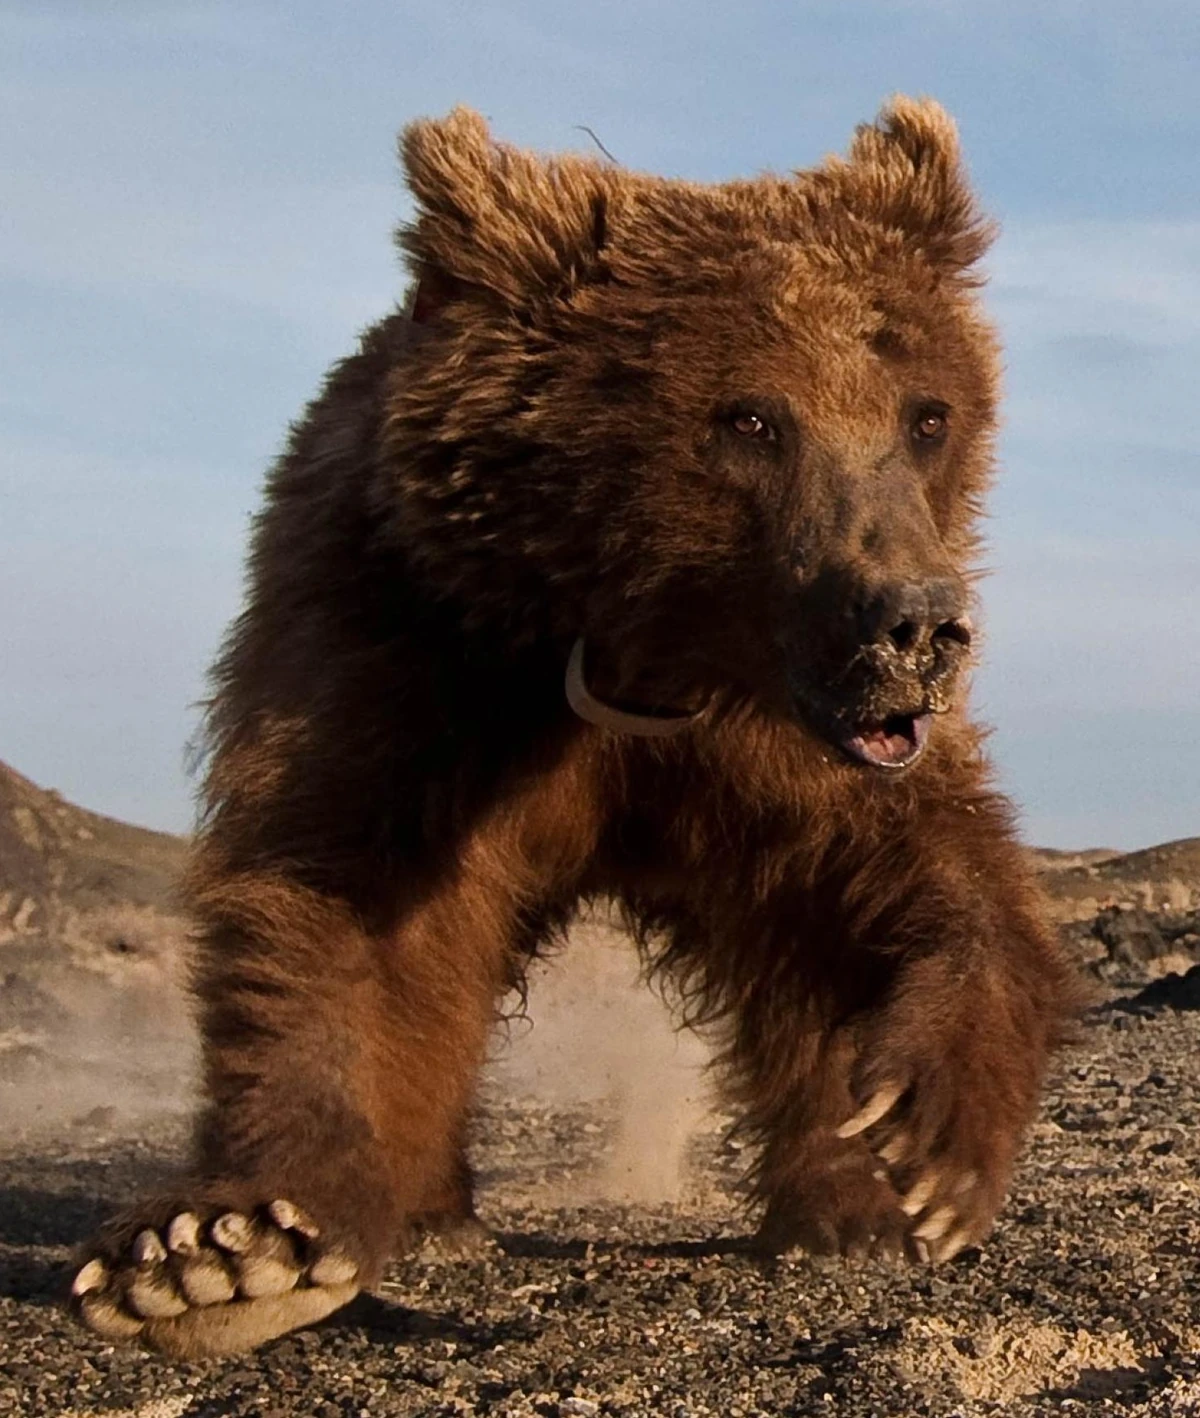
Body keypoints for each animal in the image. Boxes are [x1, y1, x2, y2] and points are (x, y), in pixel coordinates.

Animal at [70, 97, 1074, 1358]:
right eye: (751, 416)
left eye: (927, 414)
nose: (919, 625)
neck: (642, 647)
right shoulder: (416, 651)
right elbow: (346, 901)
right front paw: (225, 1251)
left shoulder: (784, 738)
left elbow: (902, 872)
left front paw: (925, 1148)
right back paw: (433, 1213)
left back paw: (845, 1214)